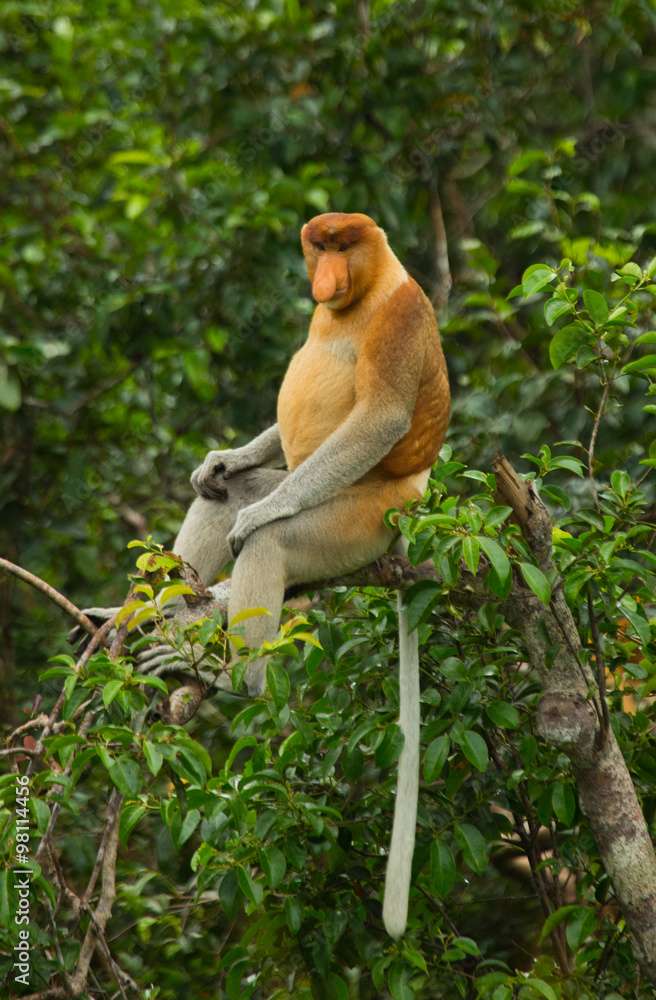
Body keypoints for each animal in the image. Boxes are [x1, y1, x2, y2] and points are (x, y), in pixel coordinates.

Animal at [164, 212, 450, 939]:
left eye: (343, 245)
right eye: (318, 247)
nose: (326, 278)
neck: (367, 292)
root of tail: (407, 519)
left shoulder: (399, 320)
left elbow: (379, 418)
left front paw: (261, 512)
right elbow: (225, 480)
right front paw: (222, 459)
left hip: (355, 520)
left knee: (268, 540)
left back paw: (234, 675)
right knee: (223, 500)